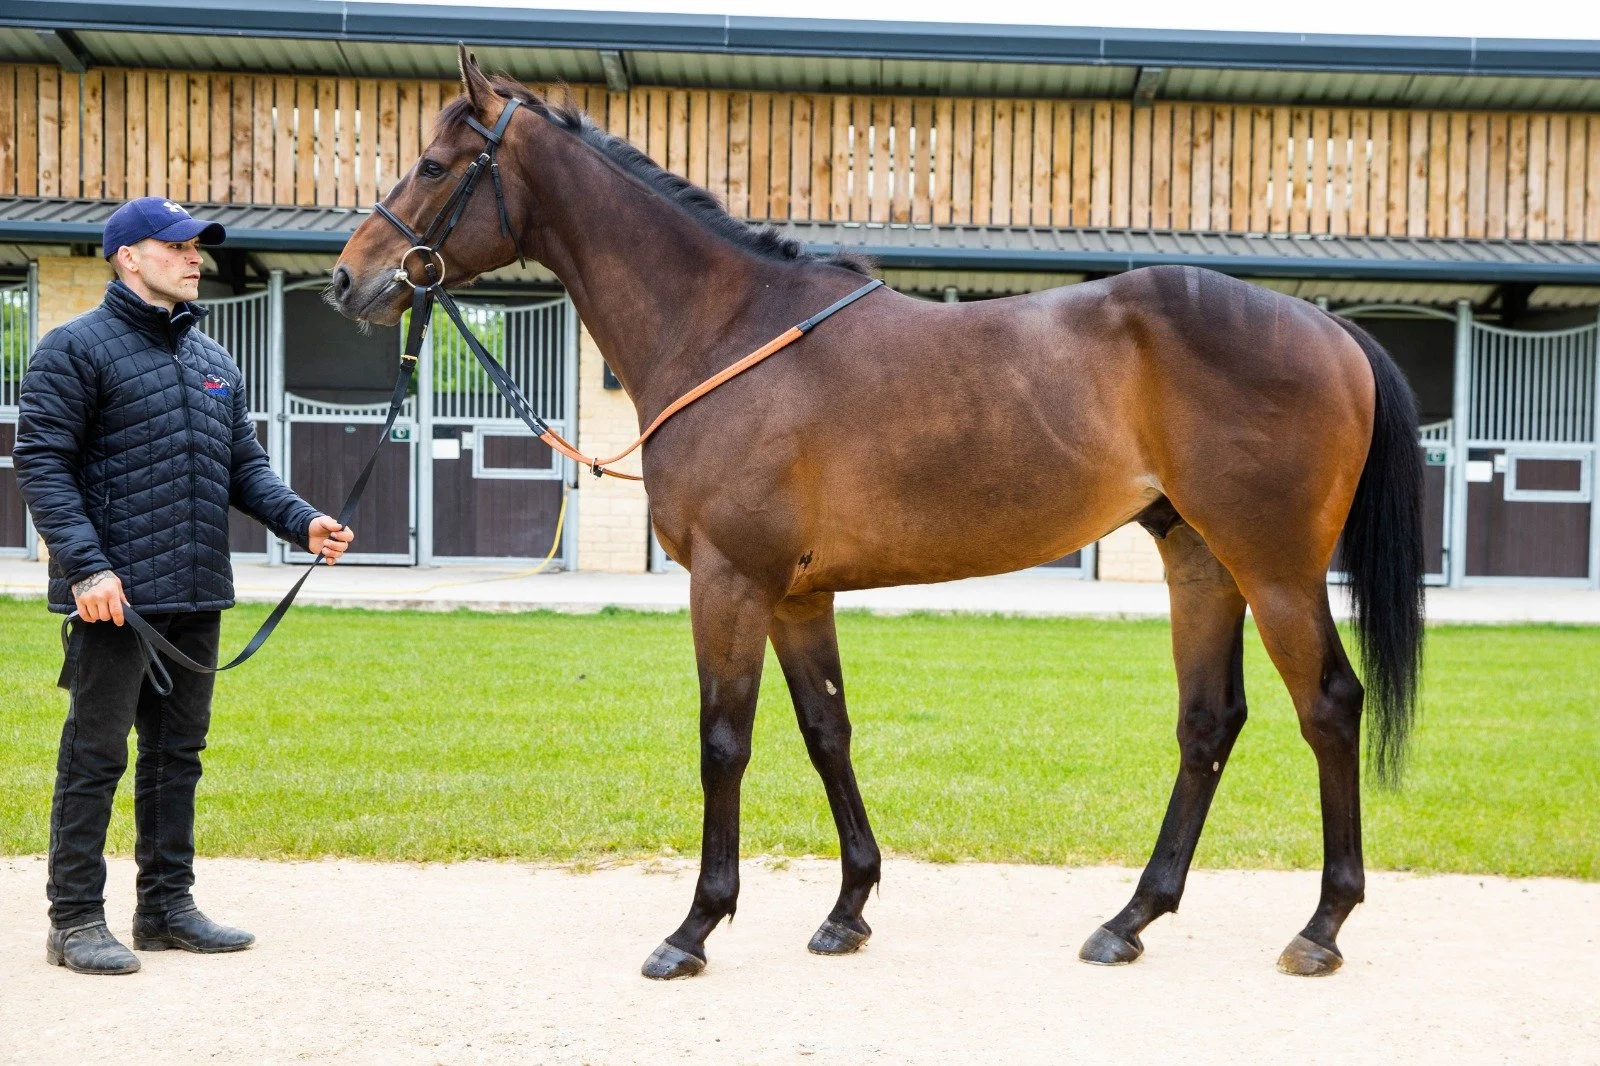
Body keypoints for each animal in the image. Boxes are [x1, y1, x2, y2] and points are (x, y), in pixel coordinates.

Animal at [331, 48, 1425, 981]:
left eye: (433, 164)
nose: (350, 277)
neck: (730, 325)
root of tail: (1328, 328)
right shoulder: (793, 597)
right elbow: (827, 731)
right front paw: (848, 907)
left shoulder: (729, 583)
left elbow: (724, 740)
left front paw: (694, 927)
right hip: (1199, 558)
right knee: (1208, 723)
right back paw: (1130, 919)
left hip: (1273, 568)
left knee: (1329, 705)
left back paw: (1321, 925)